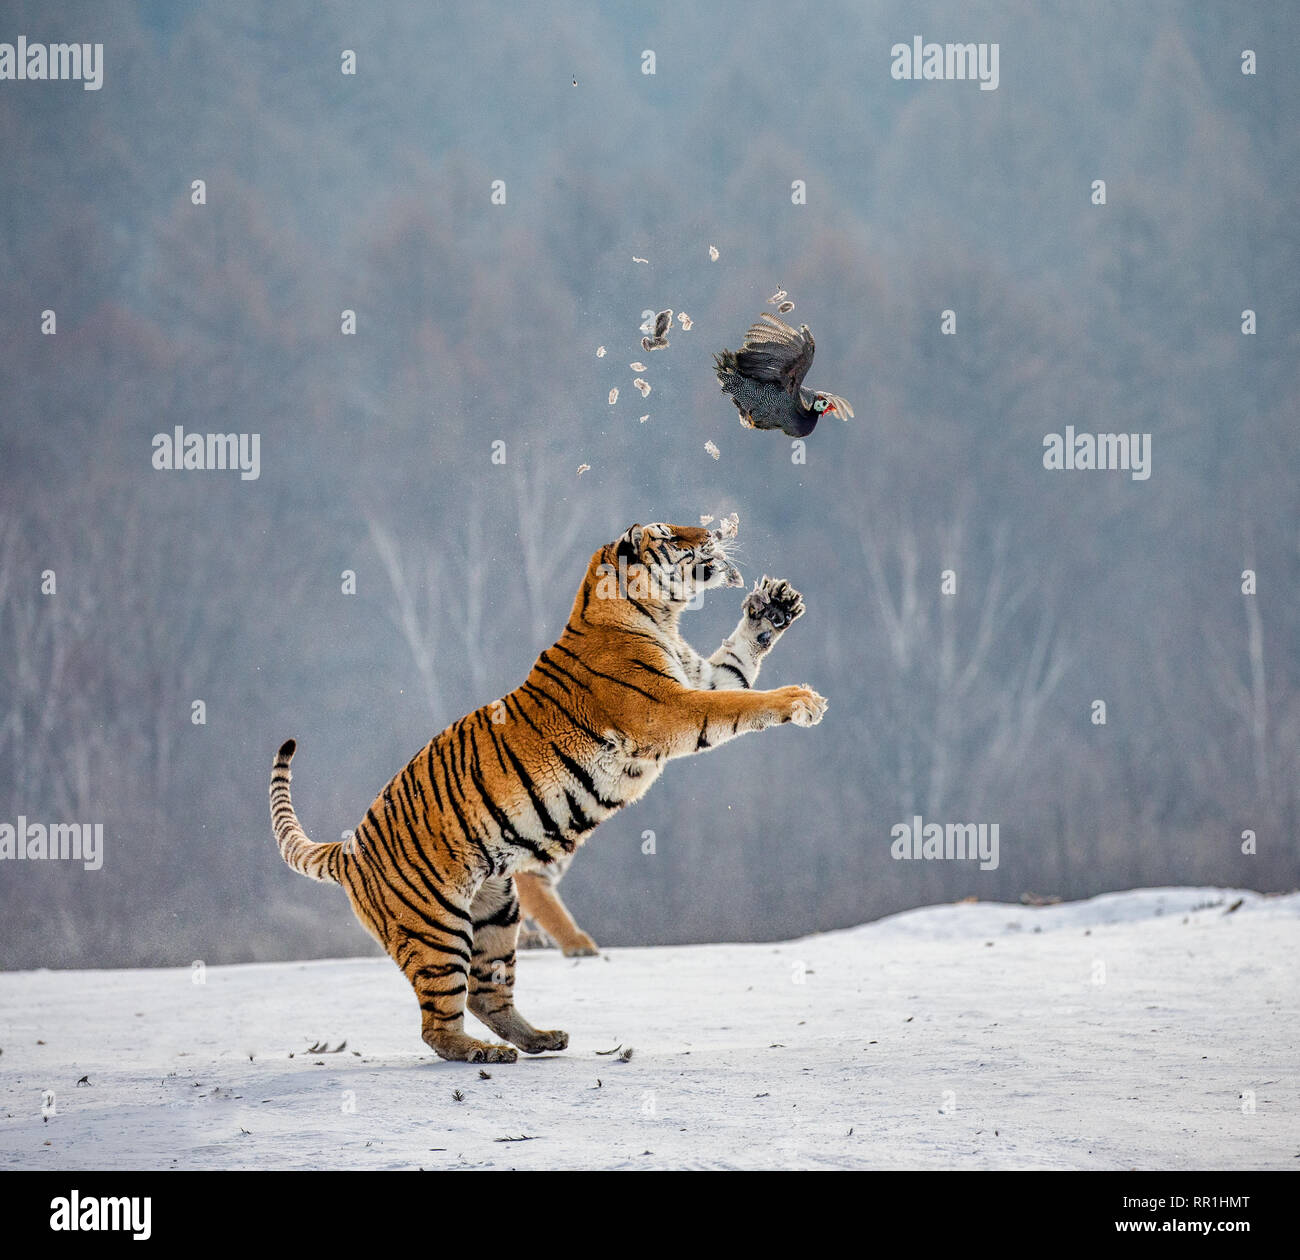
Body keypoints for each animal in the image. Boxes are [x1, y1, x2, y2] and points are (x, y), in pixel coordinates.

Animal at [269, 520, 827, 1063]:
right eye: (671, 535)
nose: (712, 532)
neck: (657, 617)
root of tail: (348, 849)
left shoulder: (701, 679)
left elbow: (737, 665)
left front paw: (774, 606)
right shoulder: (671, 709)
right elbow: (741, 703)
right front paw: (799, 700)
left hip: (496, 912)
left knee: (485, 994)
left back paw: (541, 1039)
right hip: (436, 928)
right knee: (436, 1025)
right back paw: (482, 1052)